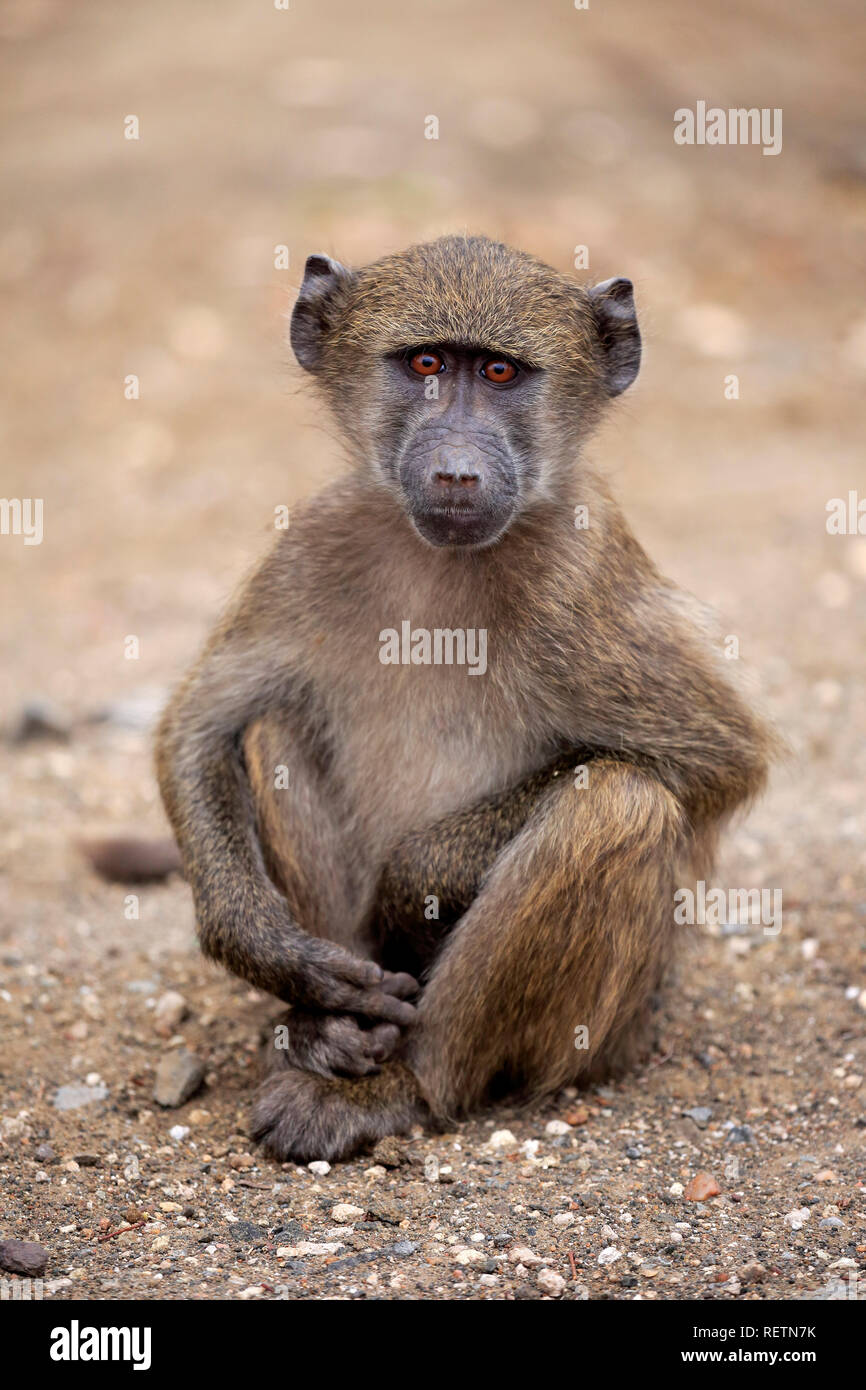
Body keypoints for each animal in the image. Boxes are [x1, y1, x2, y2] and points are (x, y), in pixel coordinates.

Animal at [153, 234, 776, 1162]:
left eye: (501, 373)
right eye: (426, 364)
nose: (455, 472)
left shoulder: (582, 579)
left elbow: (717, 759)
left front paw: (414, 888)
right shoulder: (311, 545)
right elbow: (199, 727)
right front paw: (278, 956)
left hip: (617, 1027)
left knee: (617, 801)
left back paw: (397, 1085)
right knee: (269, 730)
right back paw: (331, 1032)